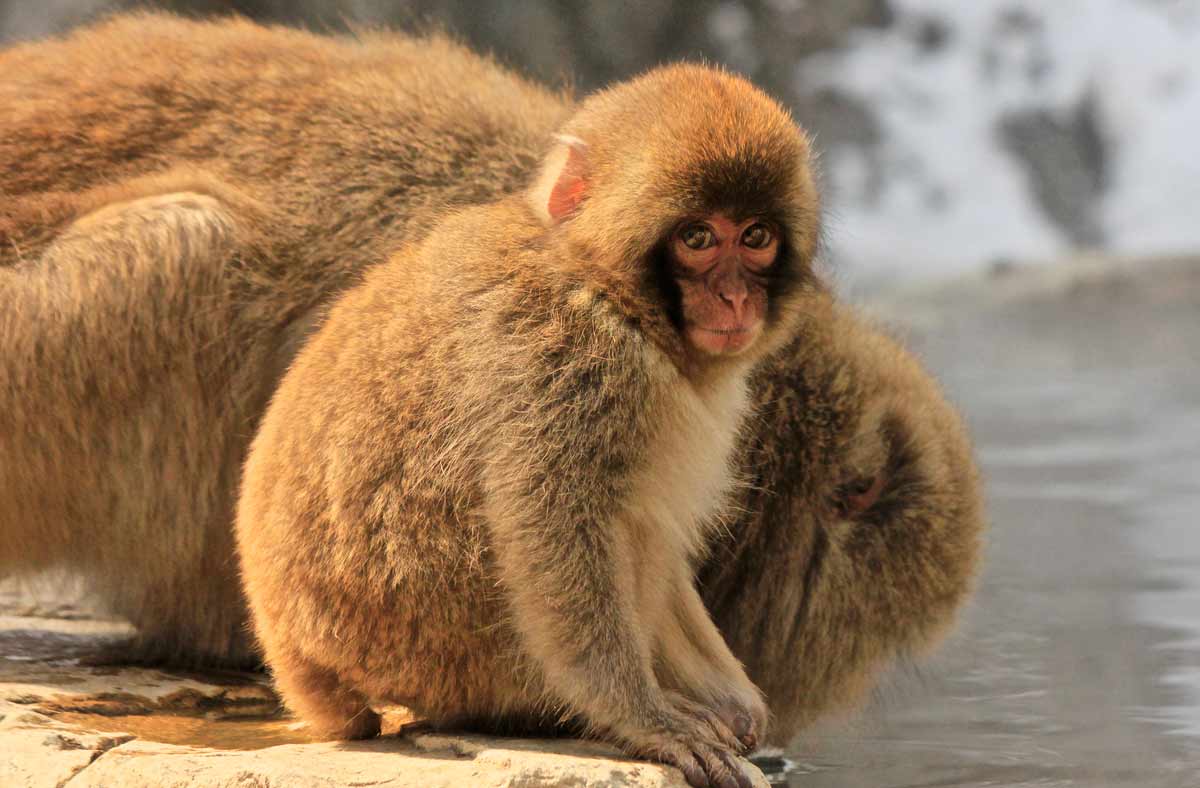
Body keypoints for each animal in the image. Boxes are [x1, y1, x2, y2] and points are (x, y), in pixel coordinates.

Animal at [234, 64, 822, 788]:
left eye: (756, 237)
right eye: (699, 238)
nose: (736, 298)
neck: (601, 284)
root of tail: (299, 665)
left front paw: (726, 697)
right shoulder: (567, 361)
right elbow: (554, 529)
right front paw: (647, 717)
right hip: (445, 659)